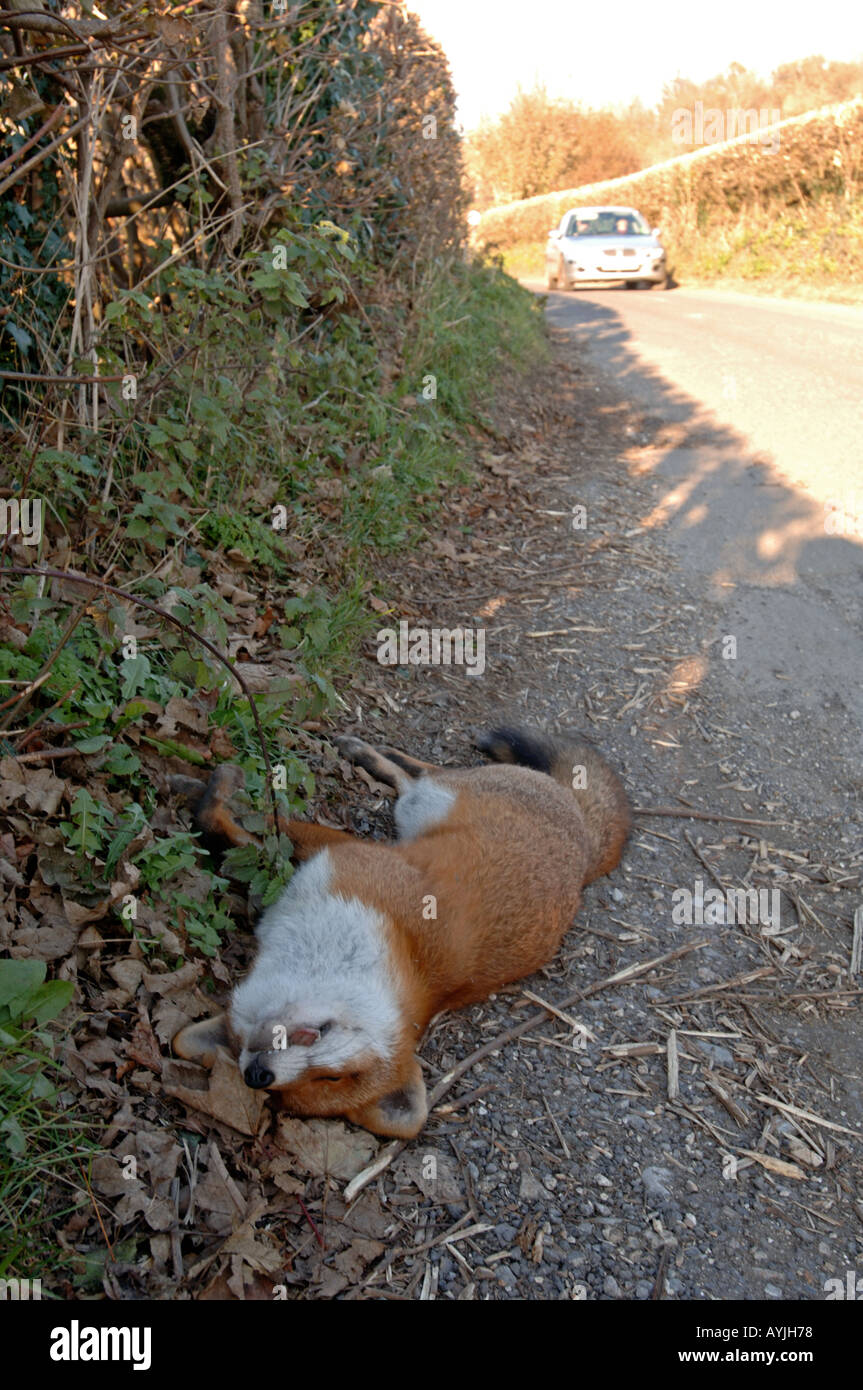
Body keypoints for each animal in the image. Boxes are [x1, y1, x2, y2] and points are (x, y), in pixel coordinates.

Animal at [173, 727, 630, 1139]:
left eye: (331, 1080)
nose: (256, 1075)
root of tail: (585, 853)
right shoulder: (347, 858)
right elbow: (250, 826)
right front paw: (207, 787)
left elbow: (231, 830)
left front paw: (208, 792)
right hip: (433, 799)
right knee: (424, 771)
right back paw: (368, 752)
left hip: (422, 804)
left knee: (414, 778)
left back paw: (368, 754)